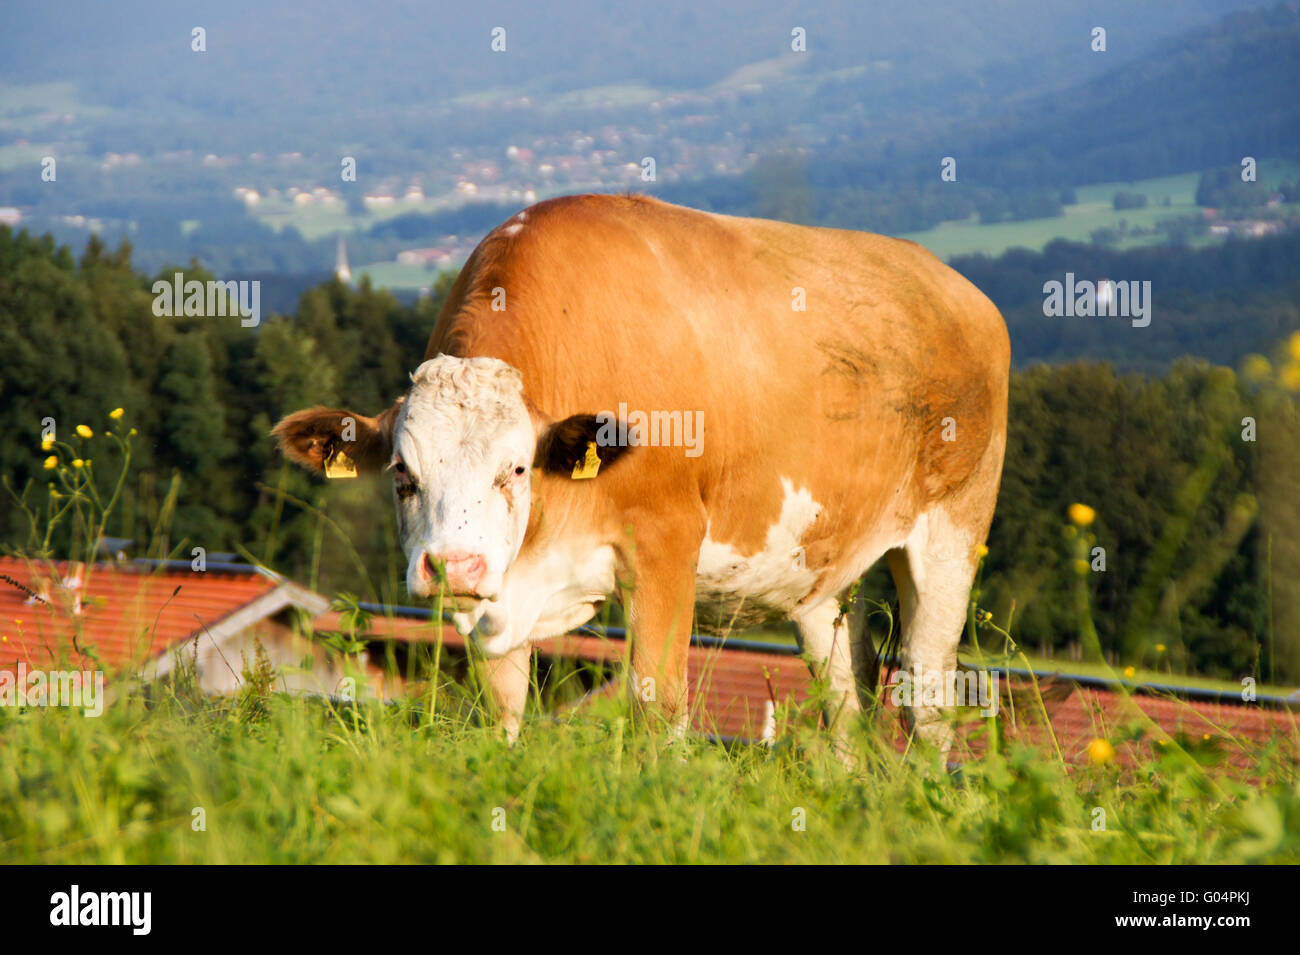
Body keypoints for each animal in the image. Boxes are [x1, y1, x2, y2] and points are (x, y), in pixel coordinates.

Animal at [274, 193, 1009, 756]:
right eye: (403, 471)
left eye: (517, 467)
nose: (453, 565)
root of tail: (954, 285)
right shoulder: (498, 595)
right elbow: (503, 706)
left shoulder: (665, 543)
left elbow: (657, 704)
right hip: (822, 571)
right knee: (846, 697)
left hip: (951, 534)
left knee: (929, 695)